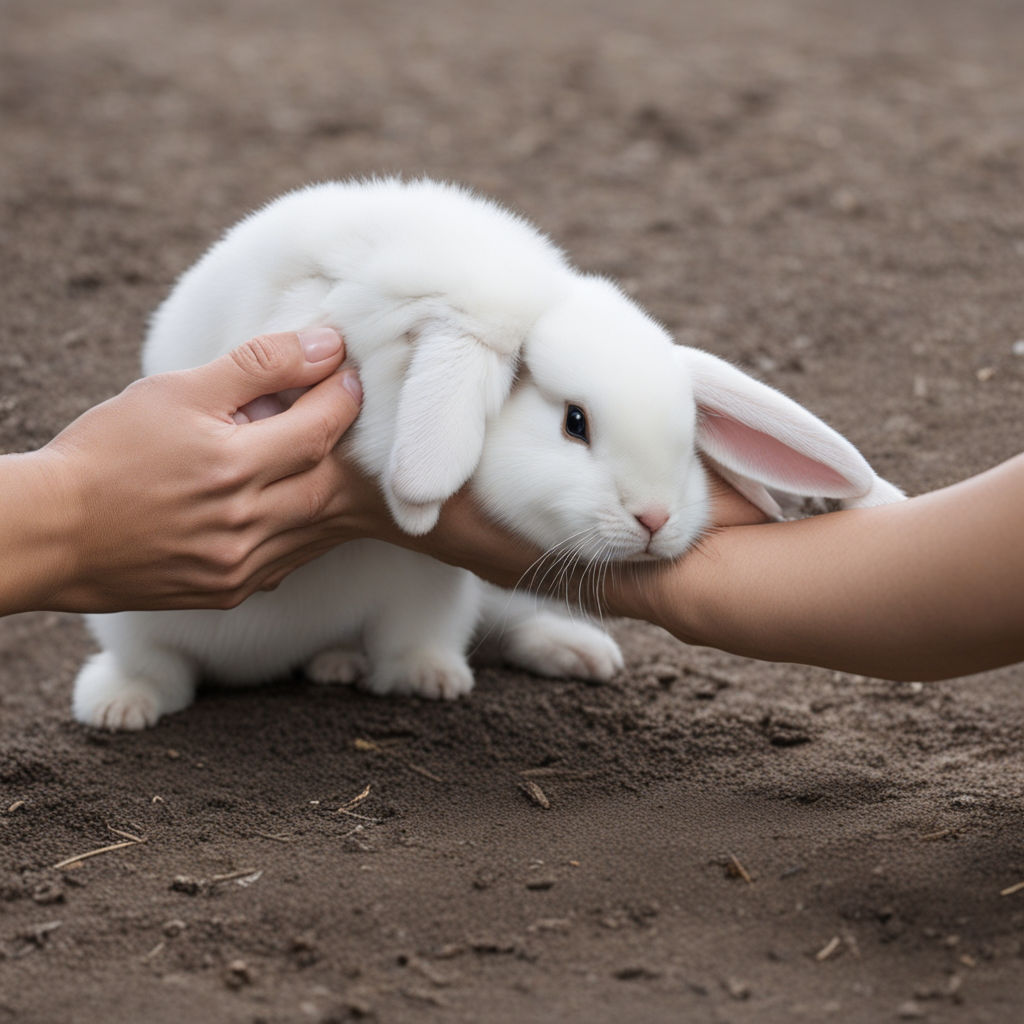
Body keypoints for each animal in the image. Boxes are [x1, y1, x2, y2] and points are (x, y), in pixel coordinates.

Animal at [72, 177, 903, 730]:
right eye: (575, 423)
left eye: (687, 434)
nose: (655, 518)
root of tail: (284, 657)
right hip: (136, 615)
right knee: (160, 667)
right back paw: (120, 705)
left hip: (433, 594)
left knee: (451, 636)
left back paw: (494, 665)